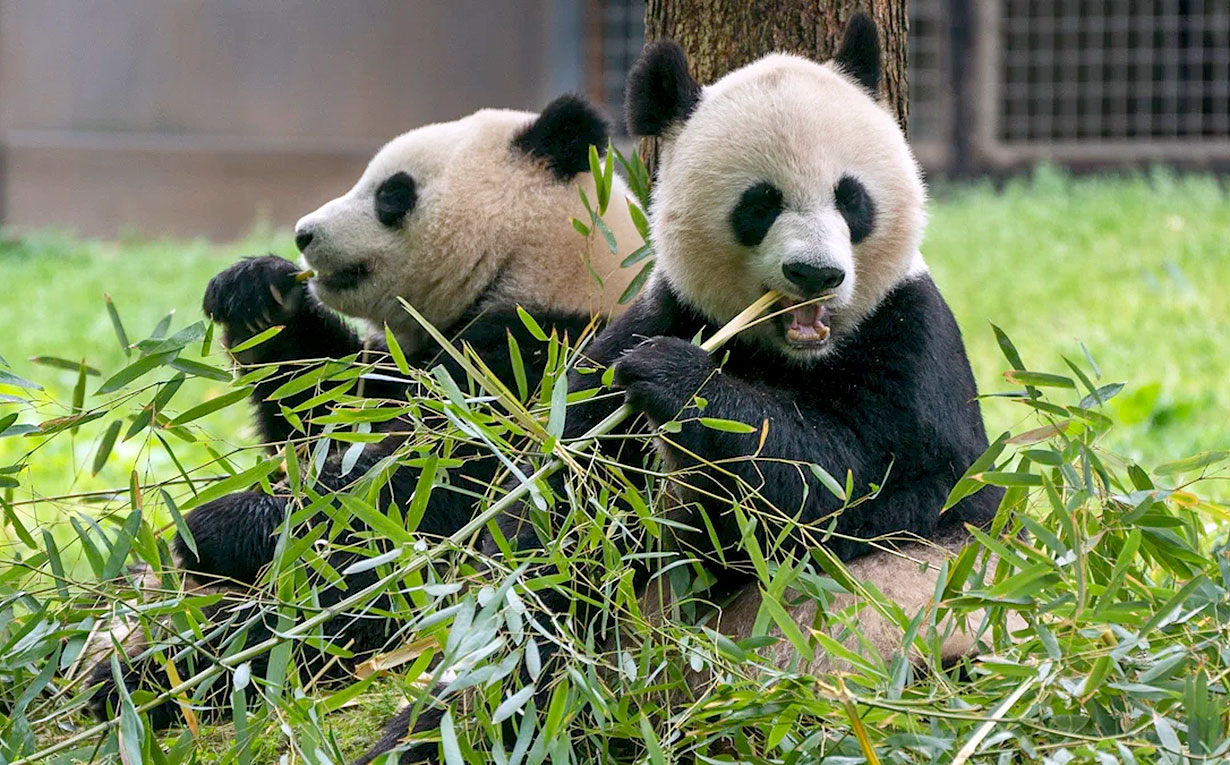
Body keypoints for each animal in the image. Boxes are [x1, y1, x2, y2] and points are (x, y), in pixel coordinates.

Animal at [86, 94, 644, 728]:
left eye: (391, 194)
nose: (303, 234)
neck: (545, 264)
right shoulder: (404, 361)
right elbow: (317, 413)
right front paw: (256, 293)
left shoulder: (541, 360)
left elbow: (422, 494)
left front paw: (215, 525)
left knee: (321, 618)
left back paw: (148, 680)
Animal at [360, 14, 1002, 765]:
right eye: (760, 203)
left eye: (852, 198)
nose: (815, 274)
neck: (789, 354)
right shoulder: (650, 319)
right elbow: (564, 517)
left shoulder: (913, 344)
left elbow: (864, 487)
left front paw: (679, 382)